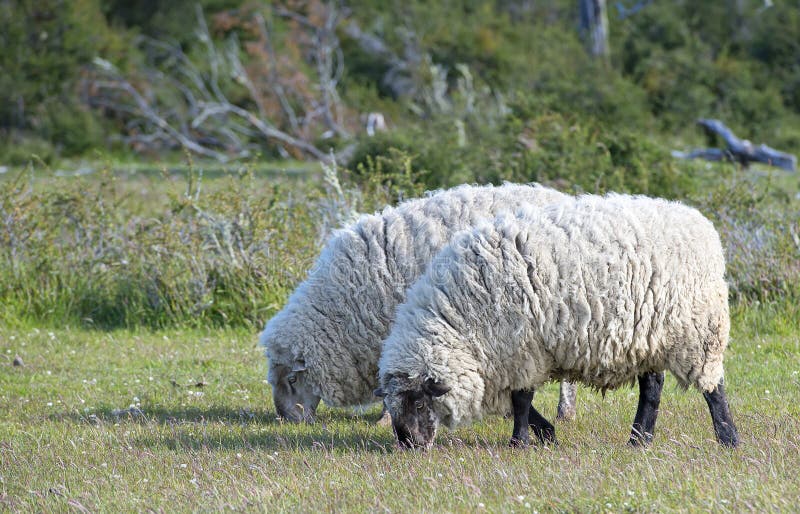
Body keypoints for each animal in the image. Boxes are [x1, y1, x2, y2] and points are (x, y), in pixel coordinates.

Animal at [259, 183, 578, 424]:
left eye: (292, 379)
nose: (286, 420)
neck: (341, 309)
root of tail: (563, 197)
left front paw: (385, 417)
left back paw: (565, 410)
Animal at [376, 193, 739, 449]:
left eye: (418, 402)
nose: (408, 445)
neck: (460, 317)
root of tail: (701, 224)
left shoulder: (522, 349)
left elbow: (521, 400)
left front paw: (519, 442)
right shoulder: (506, 357)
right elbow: (516, 401)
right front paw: (541, 435)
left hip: (697, 330)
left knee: (713, 387)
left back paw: (728, 439)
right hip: (648, 336)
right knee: (652, 388)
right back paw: (639, 440)